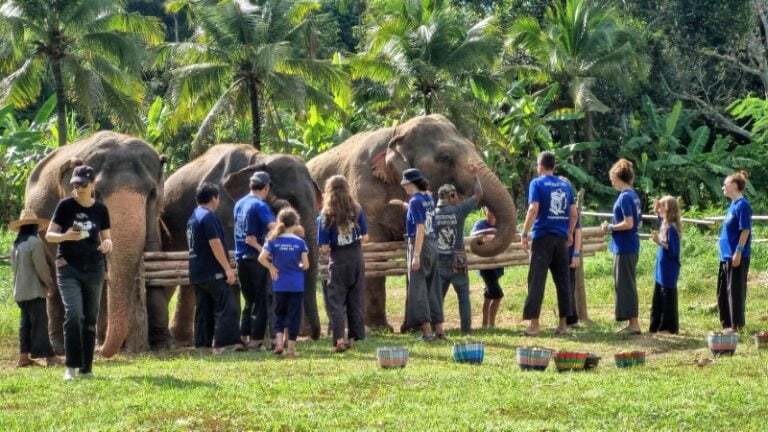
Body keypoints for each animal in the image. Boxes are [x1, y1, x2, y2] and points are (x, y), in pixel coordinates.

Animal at [23, 131, 165, 358]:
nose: (101, 351)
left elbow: (152, 251)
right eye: (96, 193)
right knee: (53, 278)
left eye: (152, 193)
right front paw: (97, 342)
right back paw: (59, 347)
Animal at [307, 114, 517, 330]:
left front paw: (412, 327)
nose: (479, 240)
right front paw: (379, 328)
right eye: (445, 157)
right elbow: (372, 246)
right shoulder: (362, 188)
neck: (396, 132)